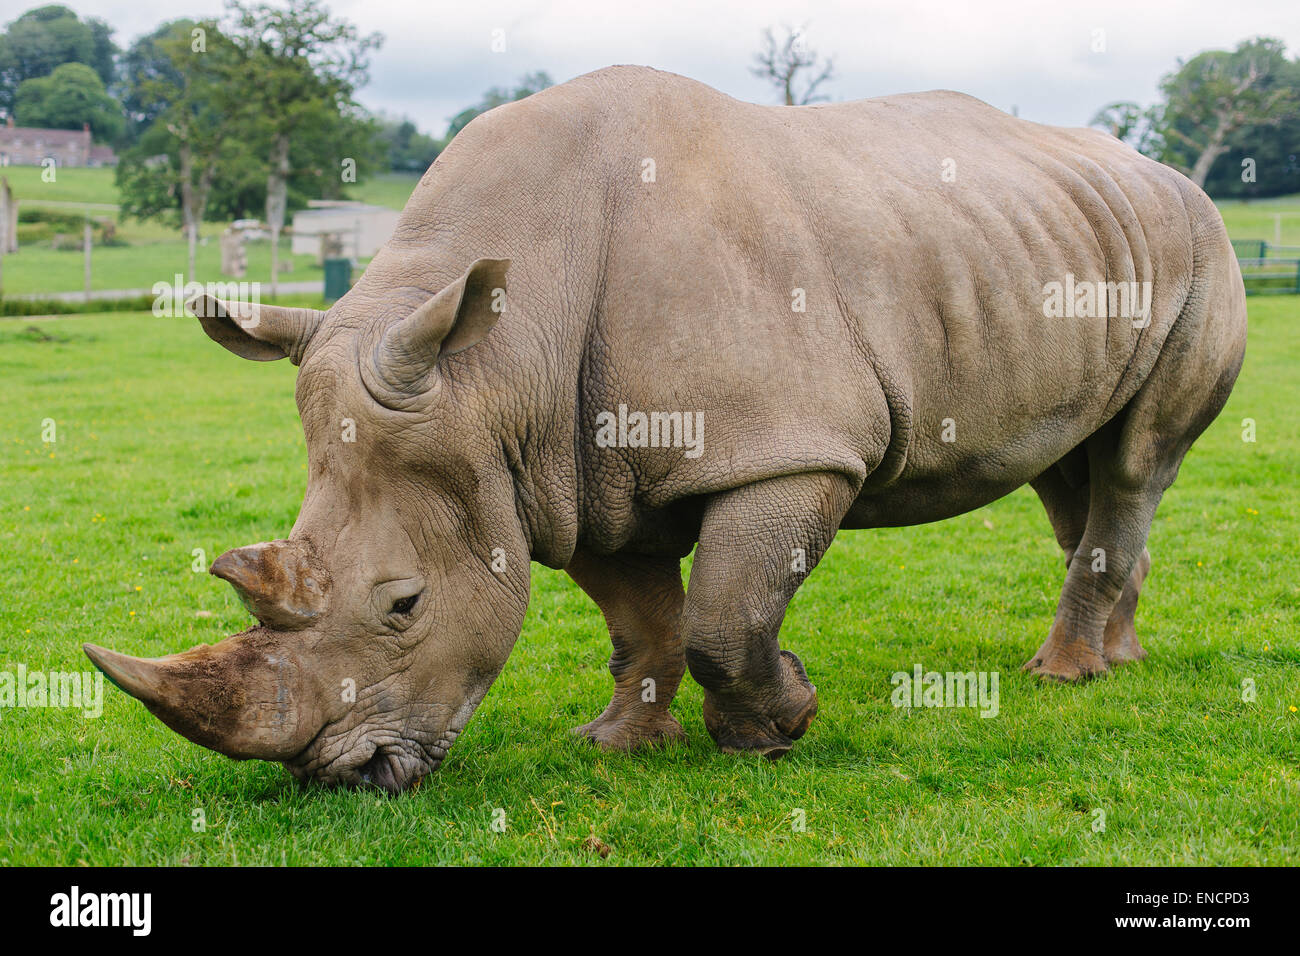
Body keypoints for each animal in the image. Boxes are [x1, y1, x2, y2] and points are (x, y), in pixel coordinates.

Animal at [83, 66, 1247, 792]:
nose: (342, 778)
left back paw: (1062, 677)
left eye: (404, 605)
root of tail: (1160, 169)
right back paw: (1120, 658)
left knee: (1133, 463)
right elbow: (640, 615)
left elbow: (723, 614)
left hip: (1200, 242)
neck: (494, 366)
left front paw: (775, 732)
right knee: (1071, 470)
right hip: (1069, 246)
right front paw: (618, 744)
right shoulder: (558, 471)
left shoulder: (786, 445)